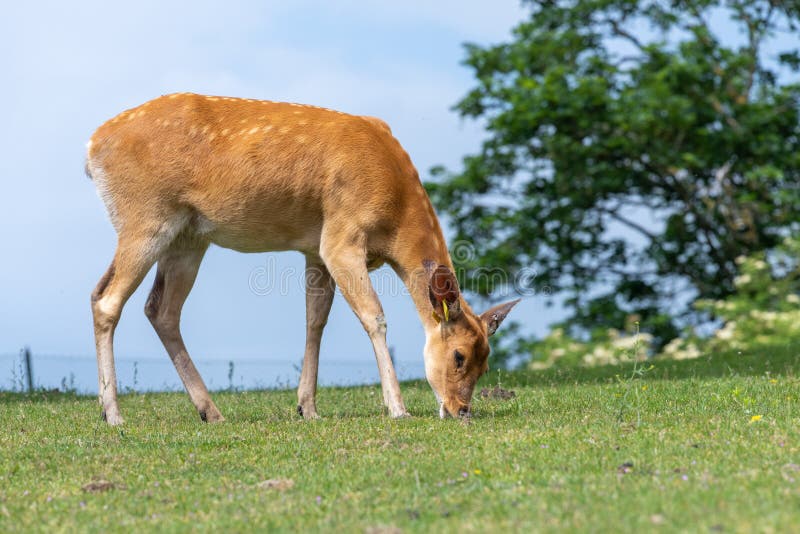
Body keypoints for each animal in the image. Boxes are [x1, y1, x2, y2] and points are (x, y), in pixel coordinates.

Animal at [86, 93, 519, 426]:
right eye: (459, 355)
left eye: (486, 362)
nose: (461, 410)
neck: (395, 218)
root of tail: (92, 149)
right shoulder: (341, 237)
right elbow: (374, 316)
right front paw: (397, 408)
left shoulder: (315, 250)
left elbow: (316, 320)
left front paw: (307, 408)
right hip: (146, 217)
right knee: (106, 298)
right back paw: (113, 414)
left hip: (189, 237)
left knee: (160, 309)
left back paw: (211, 411)